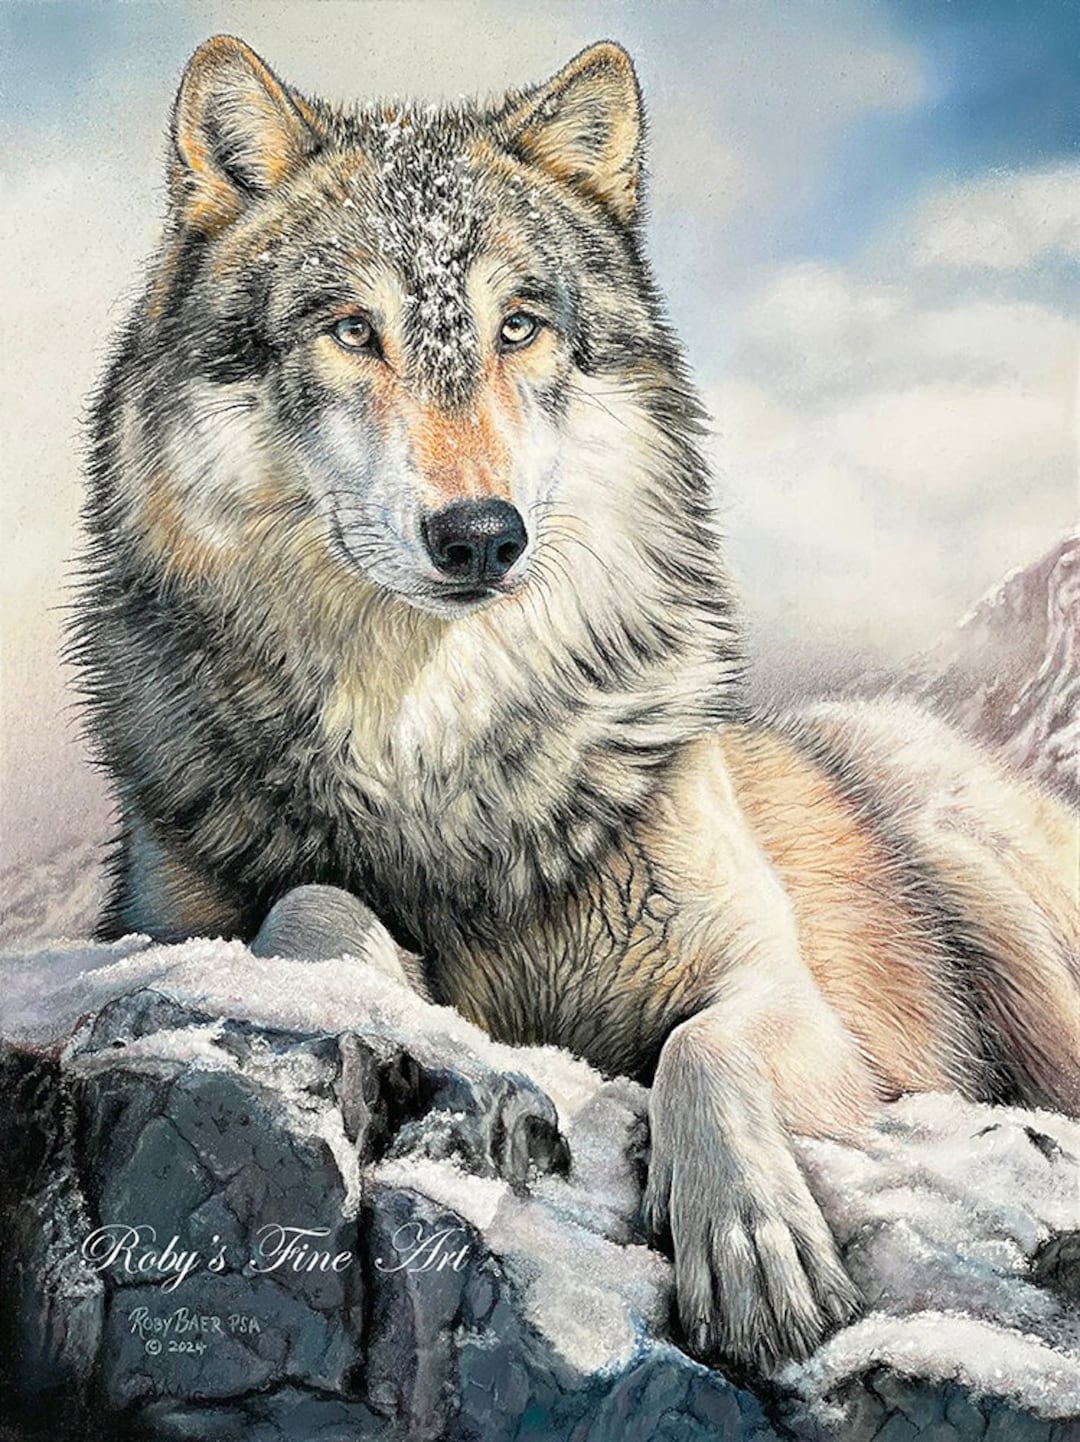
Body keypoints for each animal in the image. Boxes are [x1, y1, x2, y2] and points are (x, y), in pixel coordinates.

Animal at [72, 35, 1080, 1372]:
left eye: (519, 327)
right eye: (352, 330)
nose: (481, 535)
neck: (436, 747)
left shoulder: (802, 1010)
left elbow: (701, 1047)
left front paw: (756, 1249)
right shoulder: (172, 915)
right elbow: (311, 905)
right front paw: (409, 994)